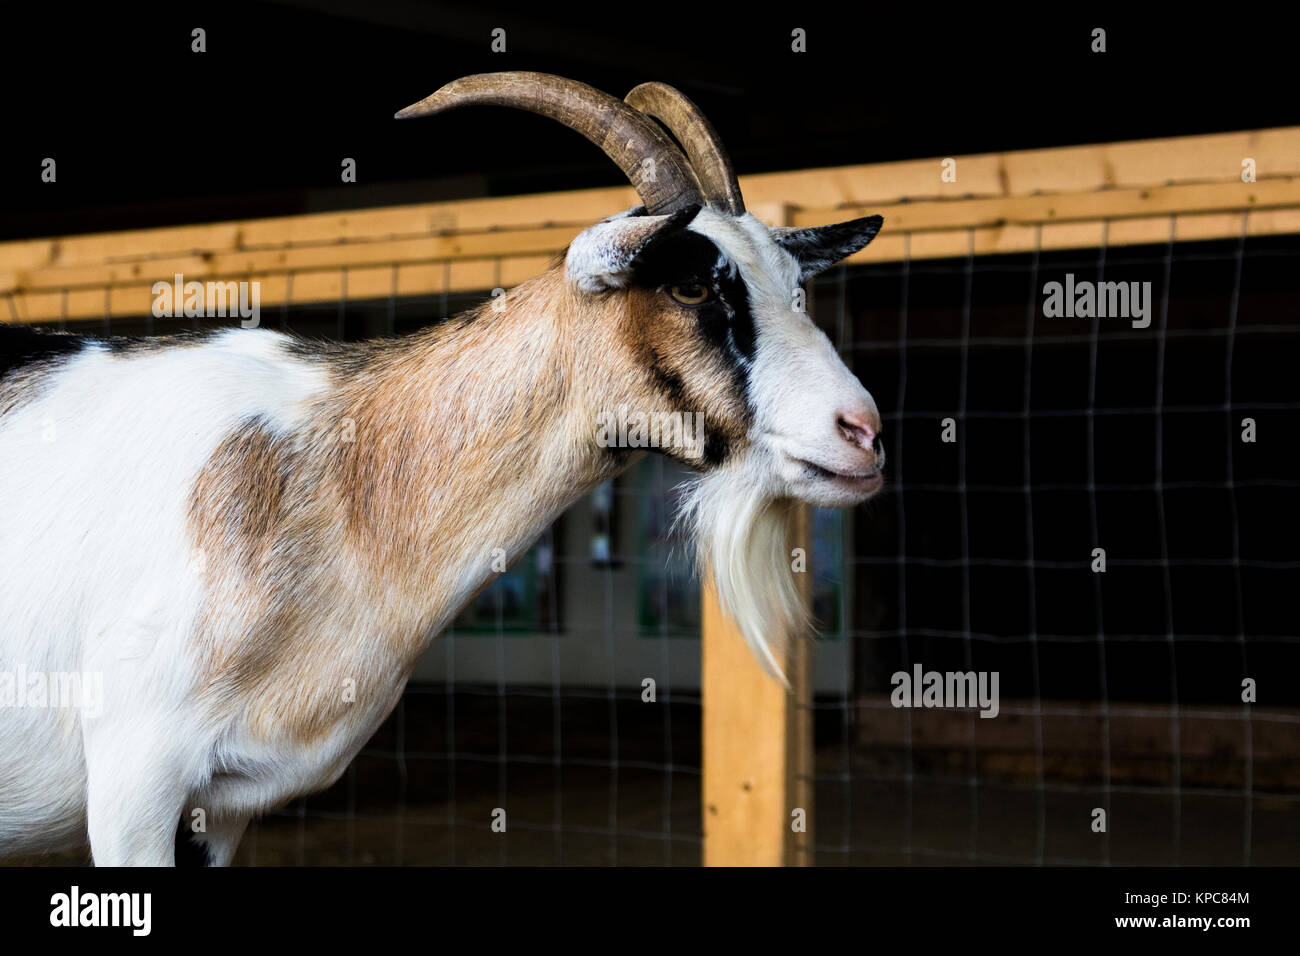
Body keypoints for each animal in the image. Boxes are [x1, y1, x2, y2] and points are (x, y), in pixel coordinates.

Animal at [0, 72, 884, 865]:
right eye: (692, 285)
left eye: (794, 286)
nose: (863, 432)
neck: (338, 485)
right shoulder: (135, 782)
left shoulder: (219, 812)